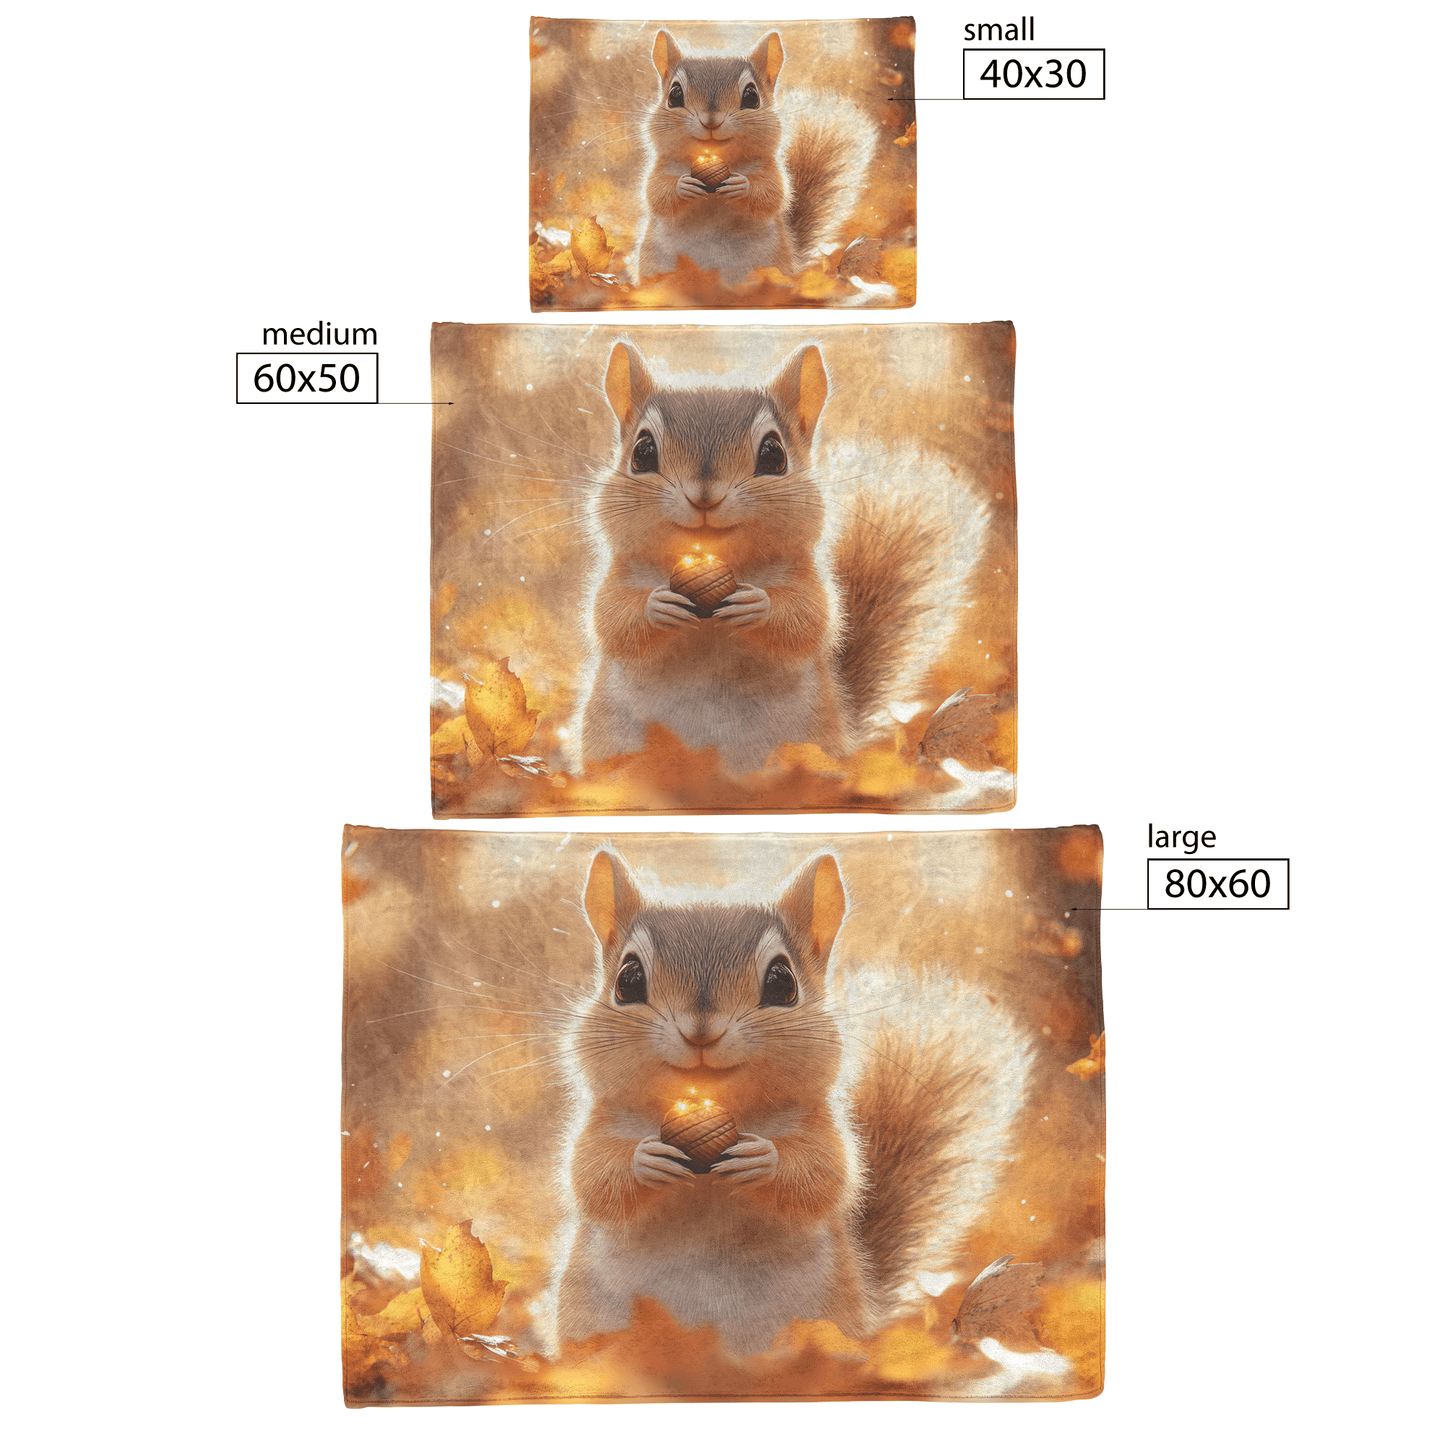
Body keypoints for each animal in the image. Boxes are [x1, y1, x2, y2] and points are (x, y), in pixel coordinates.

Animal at [544, 849, 1034, 1357]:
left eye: (782, 983)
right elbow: (592, 1175)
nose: (701, 1032)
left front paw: (766, 1158)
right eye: (628, 980)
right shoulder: (600, 1123)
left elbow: (824, 1175)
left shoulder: (823, 1127)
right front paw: (645, 1159)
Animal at [570, 338, 989, 773]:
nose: (704, 496)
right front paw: (657, 605)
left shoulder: (808, 578)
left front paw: (760, 605)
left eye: (774, 455)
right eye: (642, 452)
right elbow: (612, 618)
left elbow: (809, 618)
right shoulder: (618, 575)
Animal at [636, 29, 877, 285]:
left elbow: (772, 194)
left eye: (752, 97)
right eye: (674, 95)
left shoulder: (771, 170)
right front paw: (683, 185)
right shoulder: (661, 167)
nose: (711, 121)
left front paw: (743, 185)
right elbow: (656, 193)